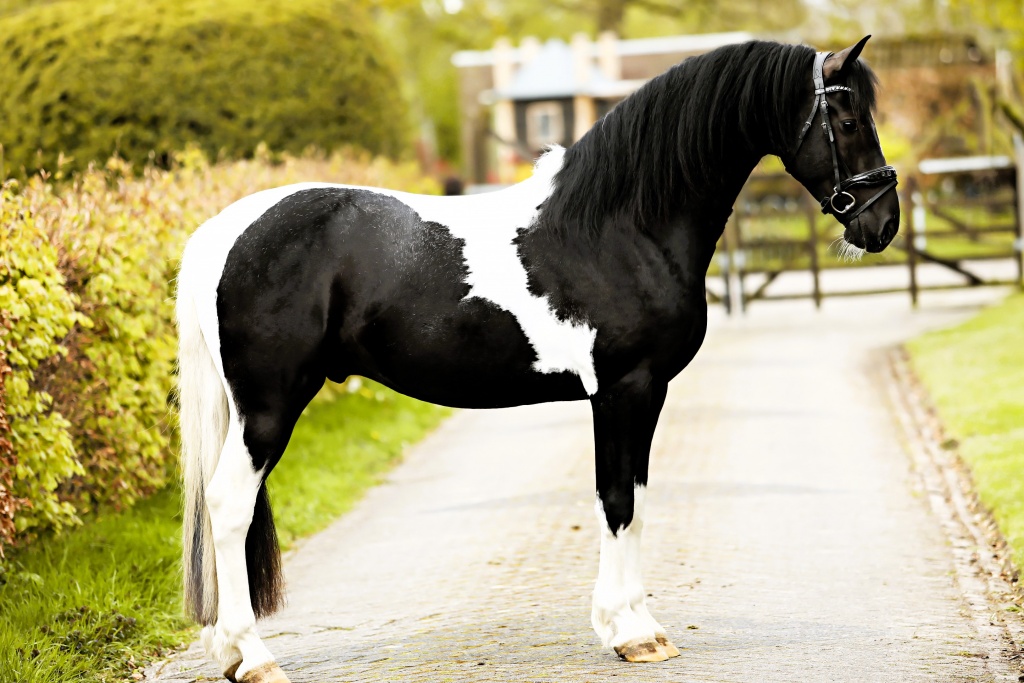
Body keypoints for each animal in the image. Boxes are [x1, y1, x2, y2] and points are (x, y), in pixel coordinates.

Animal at [175, 36, 900, 683]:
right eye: (846, 119)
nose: (883, 222)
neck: (620, 225)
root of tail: (218, 233)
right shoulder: (625, 389)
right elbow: (617, 500)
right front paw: (631, 633)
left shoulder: (641, 394)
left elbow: (634, 496)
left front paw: (636, 624)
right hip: (268, 405)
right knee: (230, 504)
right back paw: (254, 657)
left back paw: (230, 651)